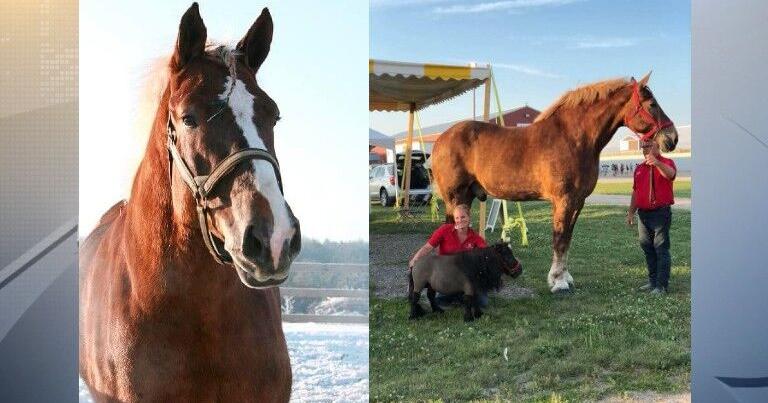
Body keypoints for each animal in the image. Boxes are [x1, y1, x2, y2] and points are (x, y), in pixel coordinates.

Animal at [430, 73, 678, 294]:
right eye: (652, 104)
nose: (672, 138)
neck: (573, 138)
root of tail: (441, 140)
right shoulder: (563, 200)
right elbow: (559, 240)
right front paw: (558, 282)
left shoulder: (578, 202)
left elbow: (567, 239)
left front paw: (565, 278)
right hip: (455, 197)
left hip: (466, 196)